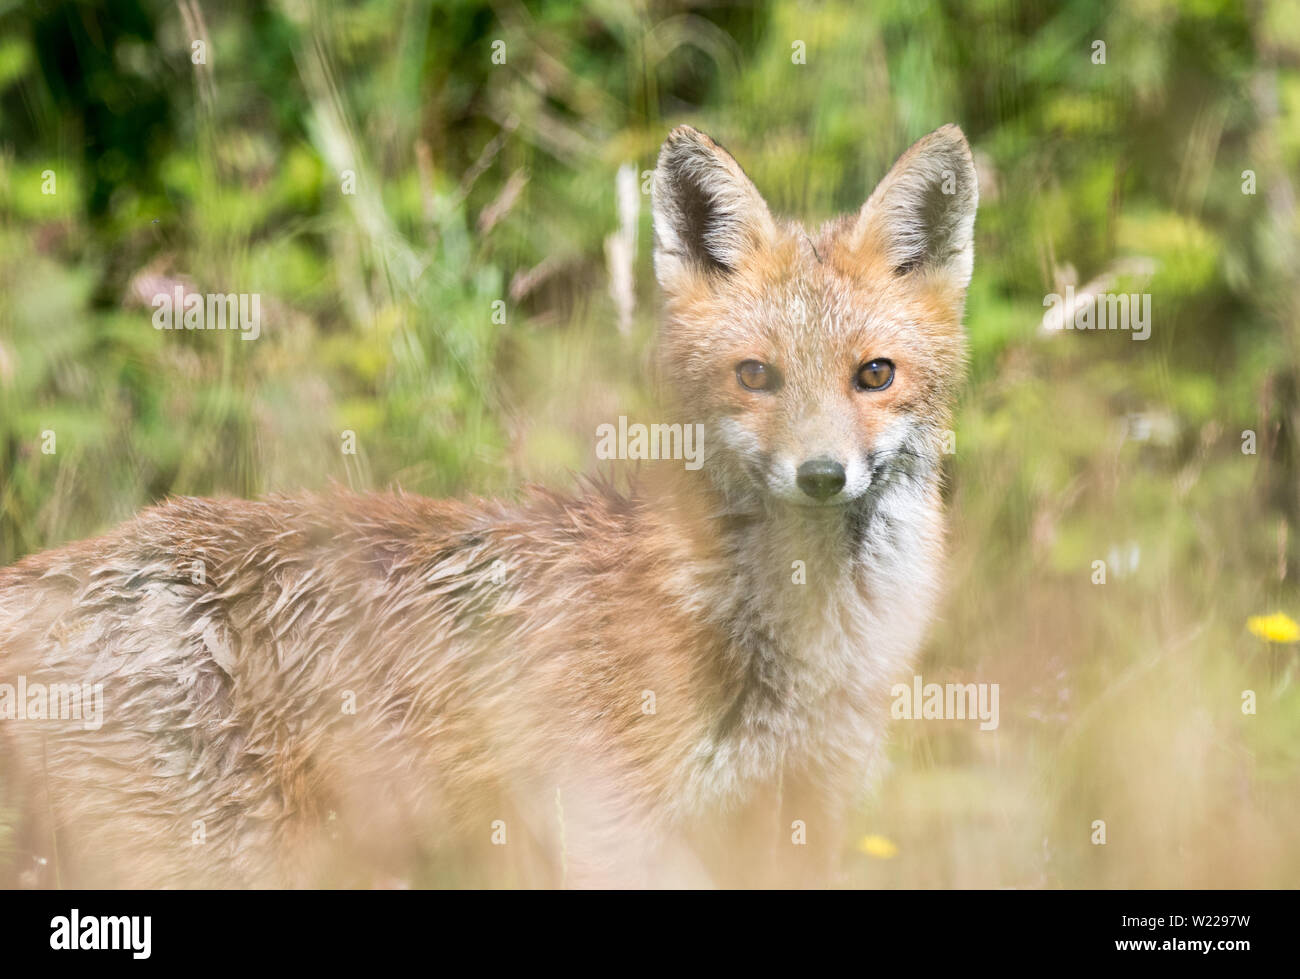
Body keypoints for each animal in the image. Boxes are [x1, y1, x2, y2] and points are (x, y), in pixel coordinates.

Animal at [0, 124, 977, 888]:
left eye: (874, 374)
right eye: (755, 376)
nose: (821, 474)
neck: (802, 651)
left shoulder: (804, 816)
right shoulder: (608, 825)